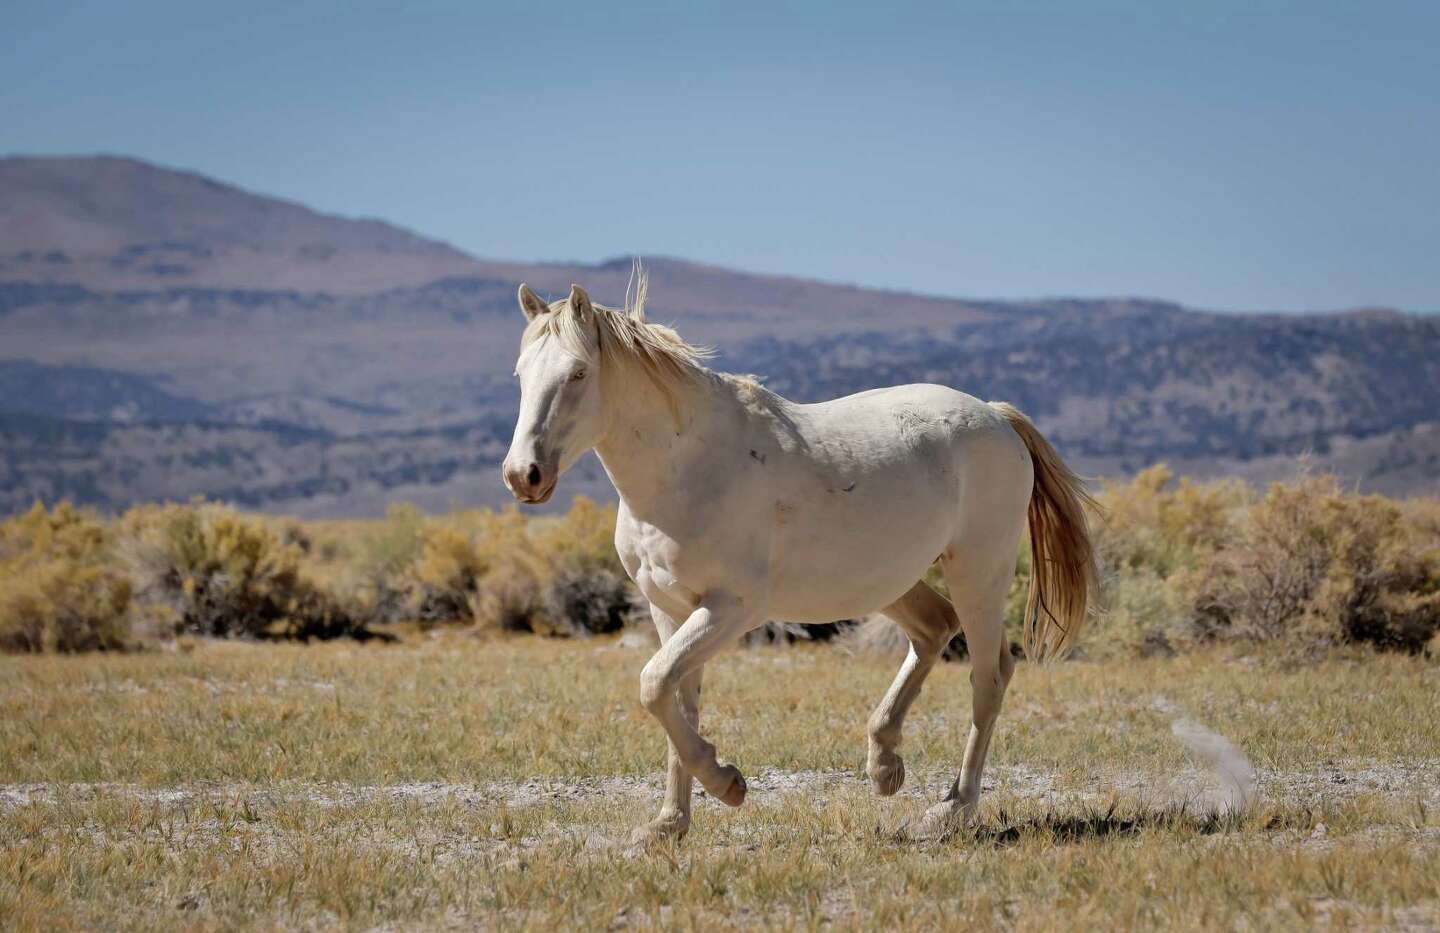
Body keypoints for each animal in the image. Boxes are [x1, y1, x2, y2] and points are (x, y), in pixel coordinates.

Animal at [502, 275, 1098, 842]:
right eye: (520, 375)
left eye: (578, 373)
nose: (523, 475)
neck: (686, 469)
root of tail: (996, 417)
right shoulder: (669, 608)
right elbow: (673, 697)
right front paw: (669, 823)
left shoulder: (732, 608)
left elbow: (654, 684)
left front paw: (727, 782)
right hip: (888, 579)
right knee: (934, 629)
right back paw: (885, 764)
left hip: (978, 570)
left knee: (988, 676)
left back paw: (951, 808)